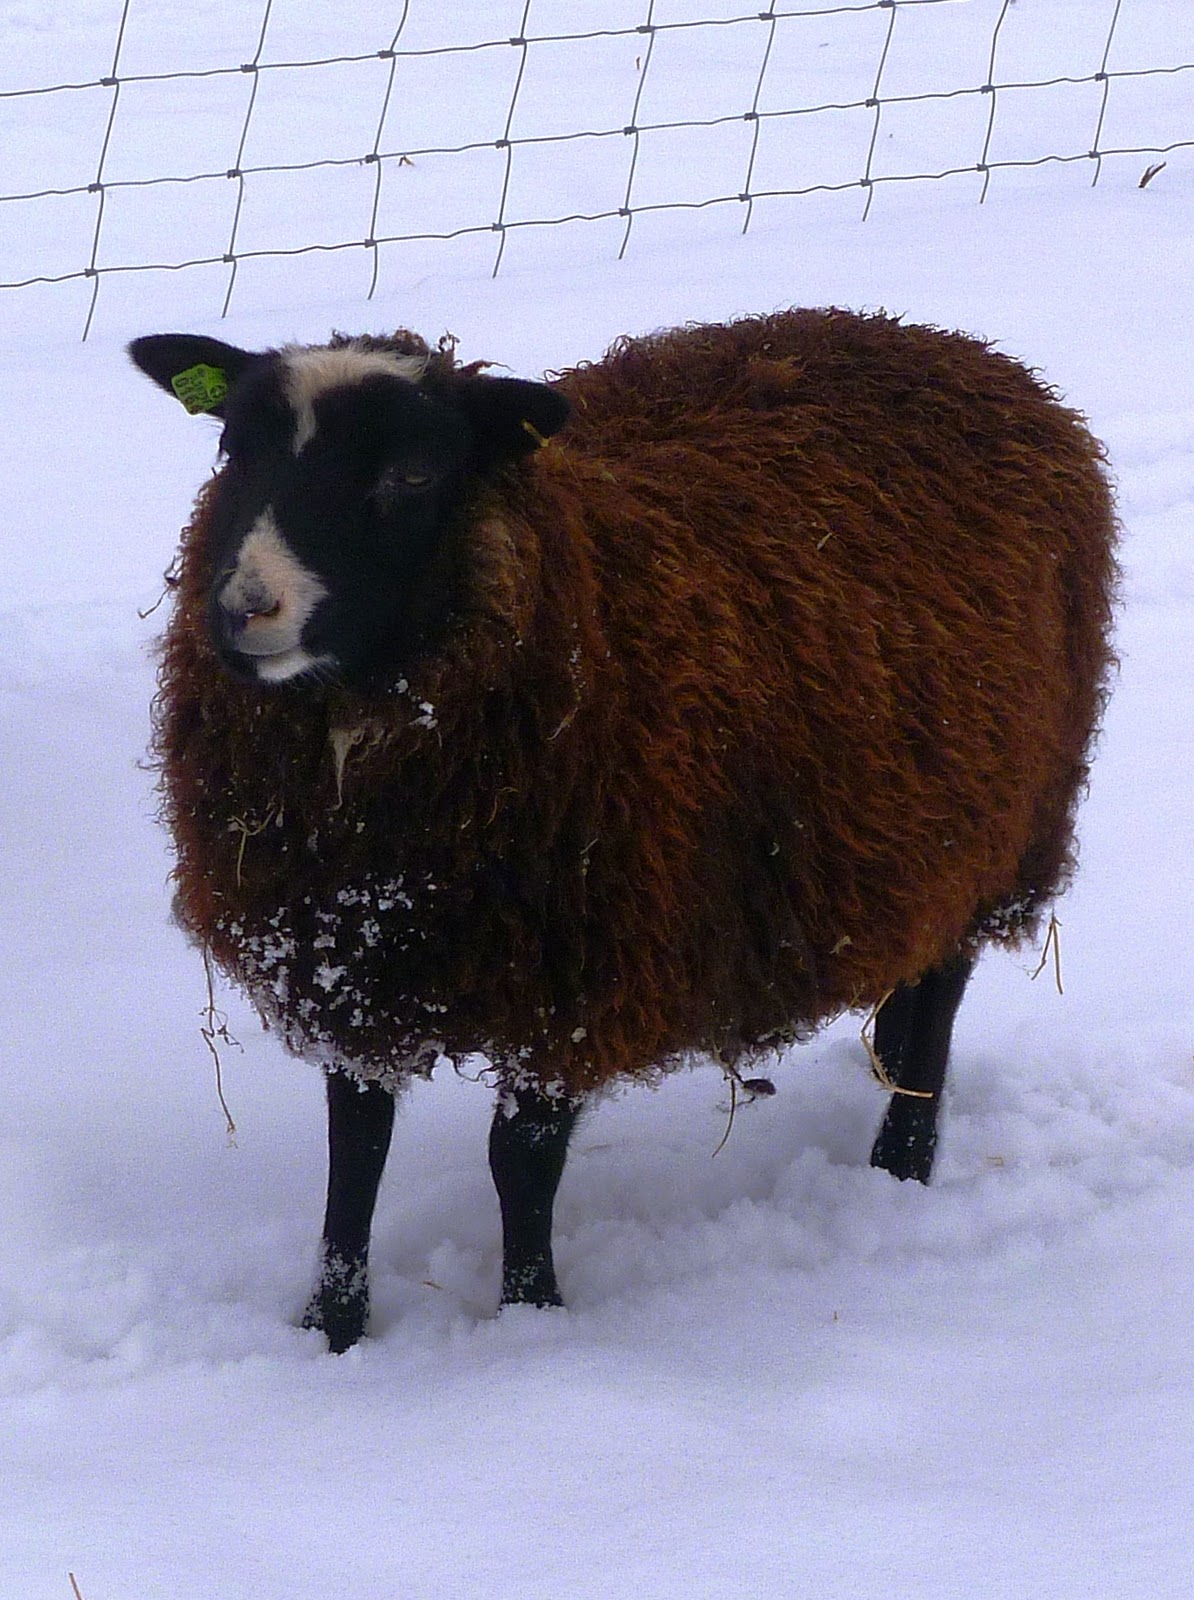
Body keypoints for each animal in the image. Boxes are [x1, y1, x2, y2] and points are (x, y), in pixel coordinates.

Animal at [129, 309, 1117, 1352]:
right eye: (234, 449)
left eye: (415, 472)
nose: (244, 610)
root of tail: (962, 349)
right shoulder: (350, 957)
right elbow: (355, 1149)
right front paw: (332, 1331)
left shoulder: (576, 964)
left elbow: (520, 1160)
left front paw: (531, 1320)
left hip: (1000, 821)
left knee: (941, 993)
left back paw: (903, 1165)